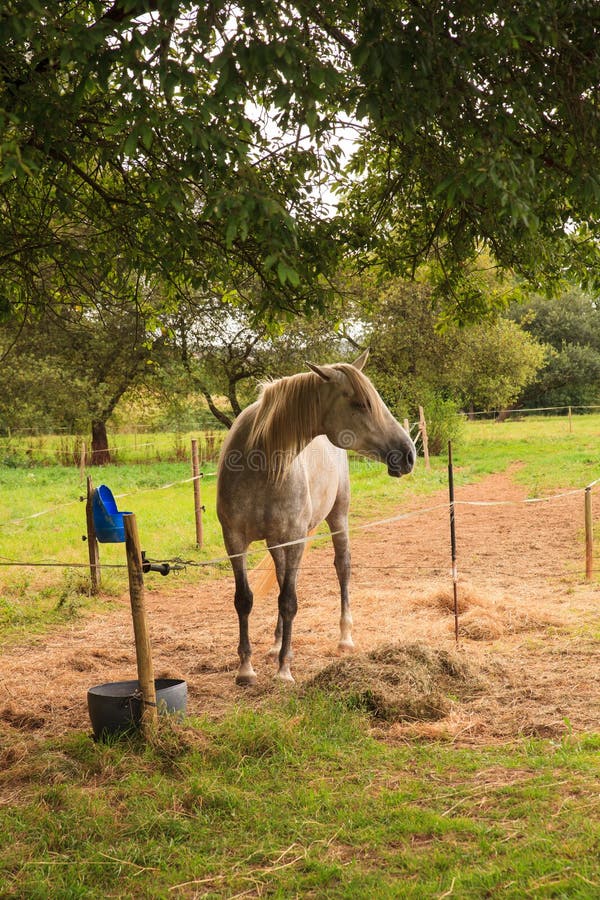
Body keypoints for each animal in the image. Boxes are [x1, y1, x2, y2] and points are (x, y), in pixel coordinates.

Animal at [216, 350, 416, 685]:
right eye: (360, 403)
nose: (408, 454)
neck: (261, 462)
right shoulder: (234, 540)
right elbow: (244, 599)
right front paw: (246, 668)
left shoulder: (295, 538)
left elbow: (289, 601)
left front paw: (284, 669)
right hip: (277, 542)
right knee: (281, 577)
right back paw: (277, 643)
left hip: (338, 518)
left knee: (342, 567)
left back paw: (344, 638)